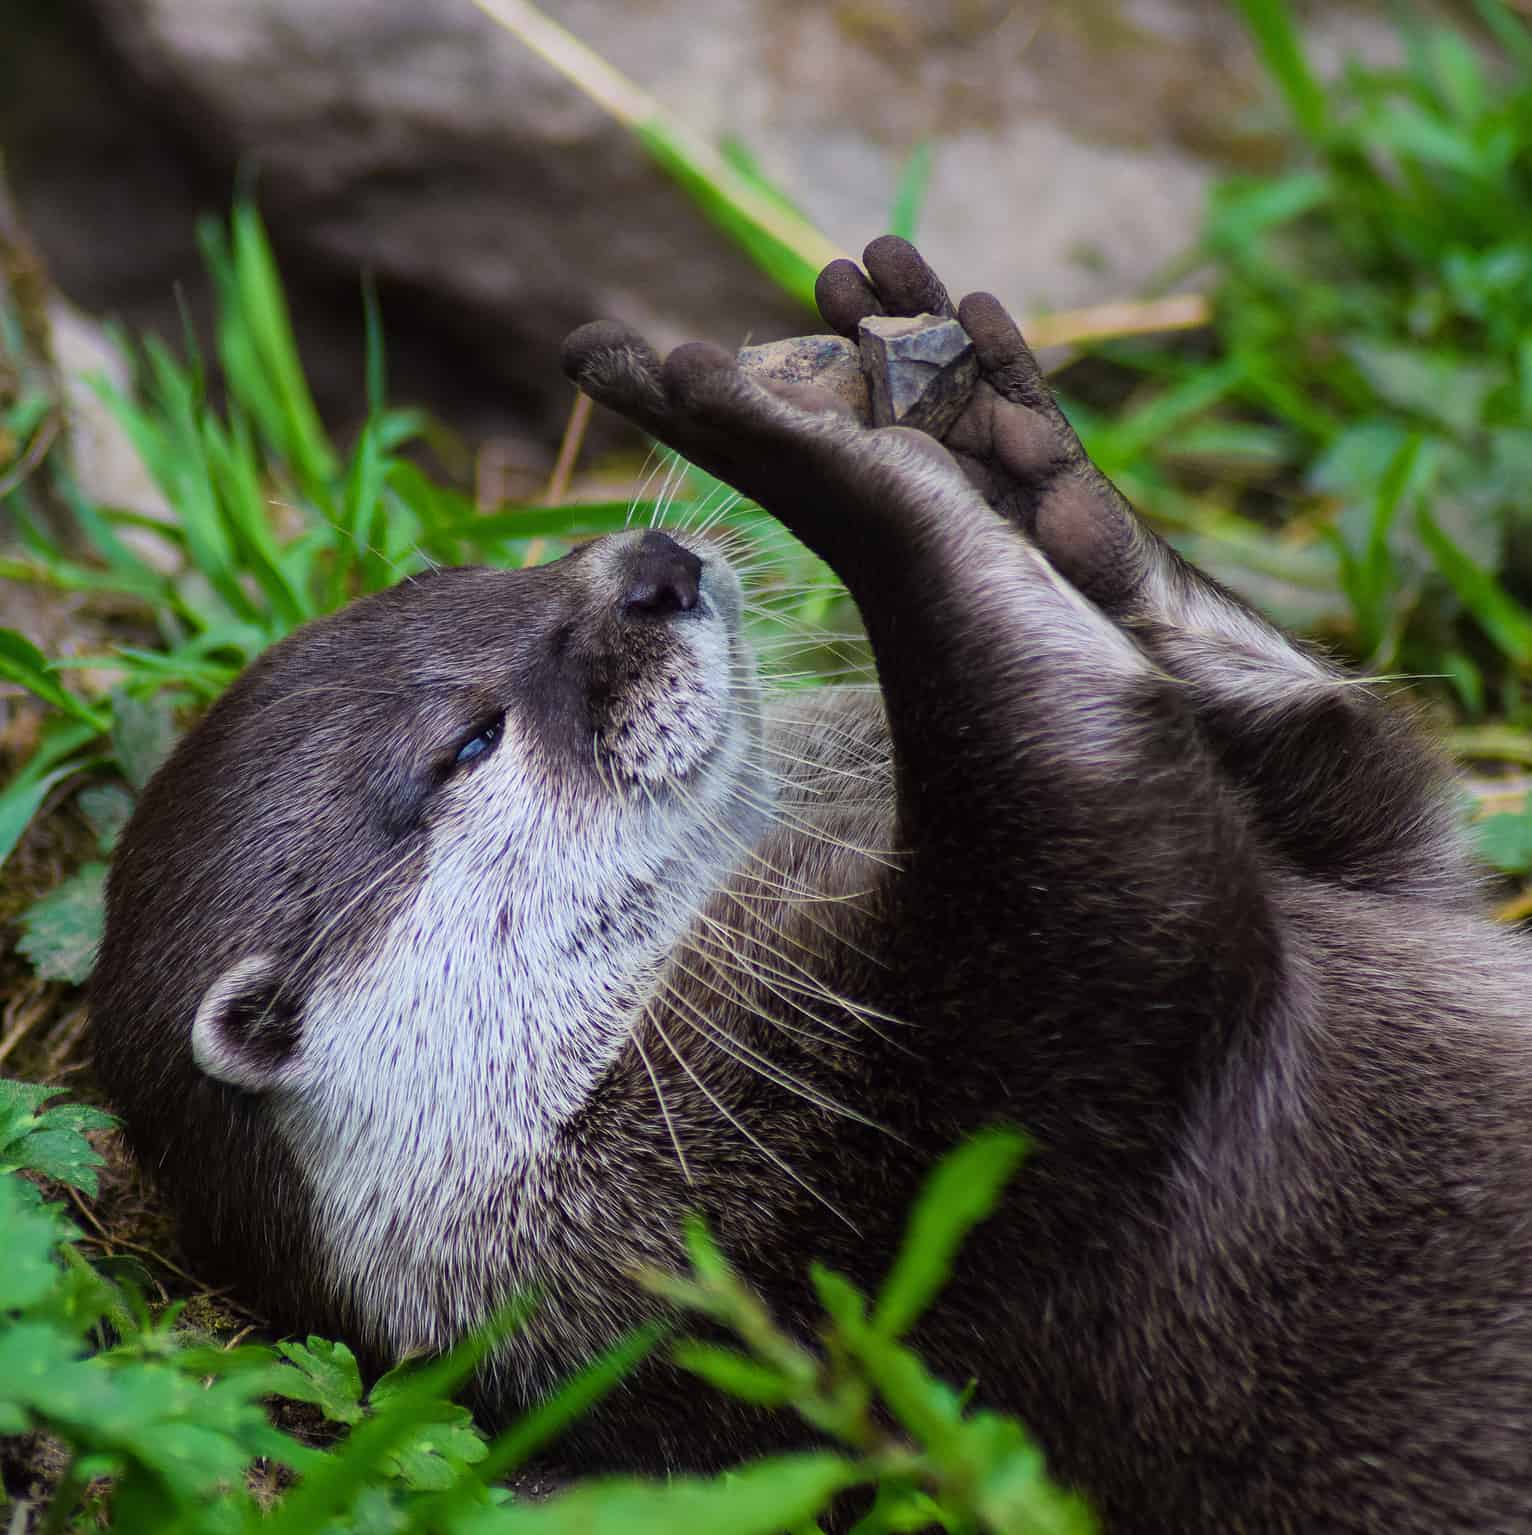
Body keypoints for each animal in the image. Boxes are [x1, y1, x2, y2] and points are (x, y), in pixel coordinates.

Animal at [92, 238, 1532, 1531]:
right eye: (467, 744)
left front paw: (1015, 453)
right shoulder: (904, 1158)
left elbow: (1371, 797)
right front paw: (798, 454)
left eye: (482, 569)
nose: (651, 570)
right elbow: (1094, 827)